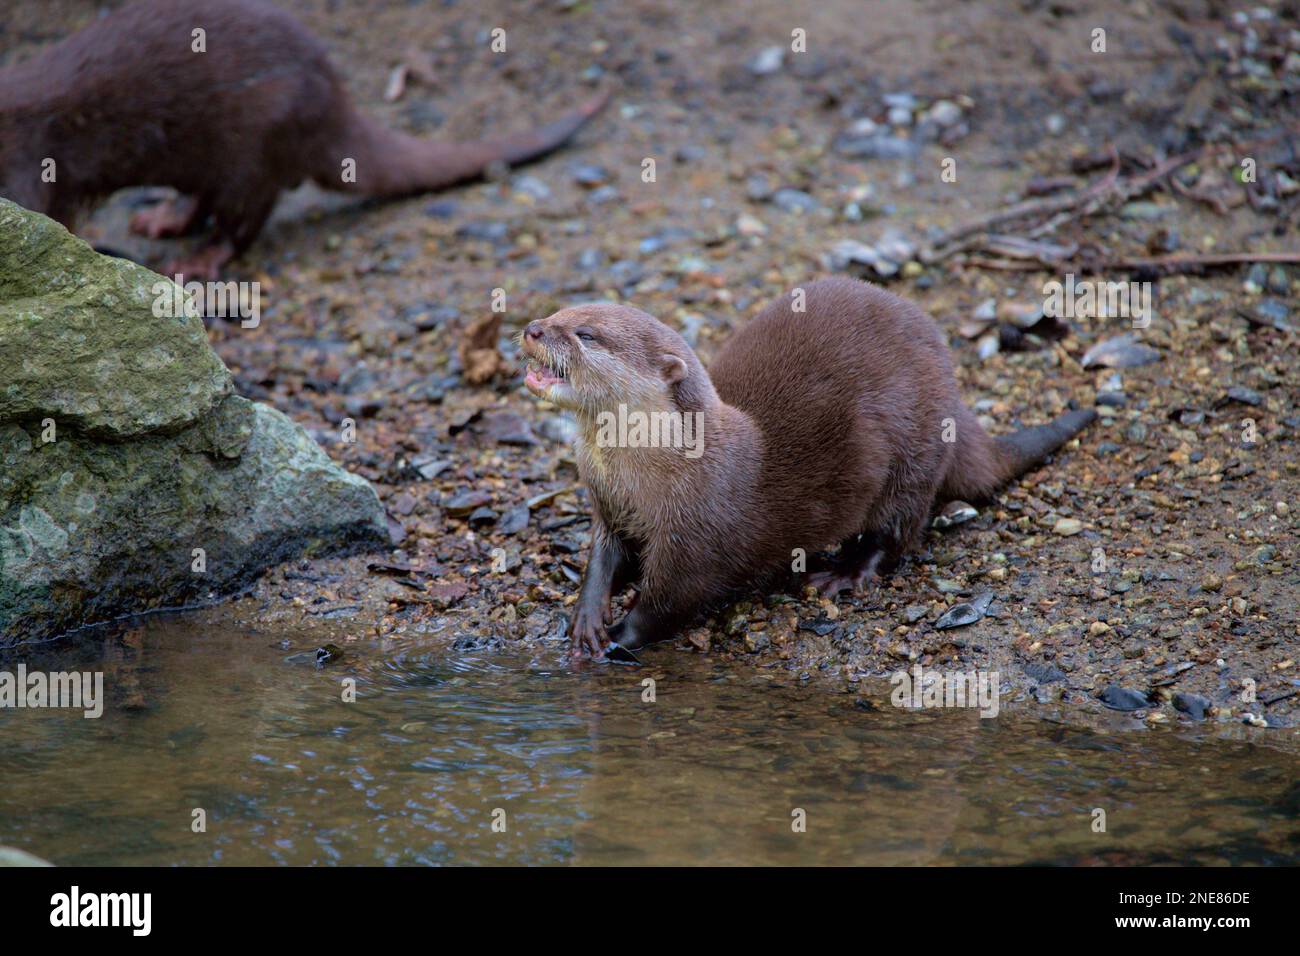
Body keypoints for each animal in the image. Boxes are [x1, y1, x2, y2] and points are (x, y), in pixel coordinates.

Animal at [0, 0, 607, 278]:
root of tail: (332, 95)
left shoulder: (26, 161)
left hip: (255, 142)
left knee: (245, 216)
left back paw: (198, 259)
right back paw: (163, 219)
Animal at [522, 277, 1096, 660]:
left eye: (586, 334)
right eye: (557, 313)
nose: (531, 328)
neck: (654, 473)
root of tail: (953, 389)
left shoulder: (698, 536)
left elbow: (672, 598)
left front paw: (617, 639)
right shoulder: (608, 504)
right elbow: (602, 558)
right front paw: (587, 618)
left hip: (911, 453)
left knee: (898, 532)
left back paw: (844, 574)